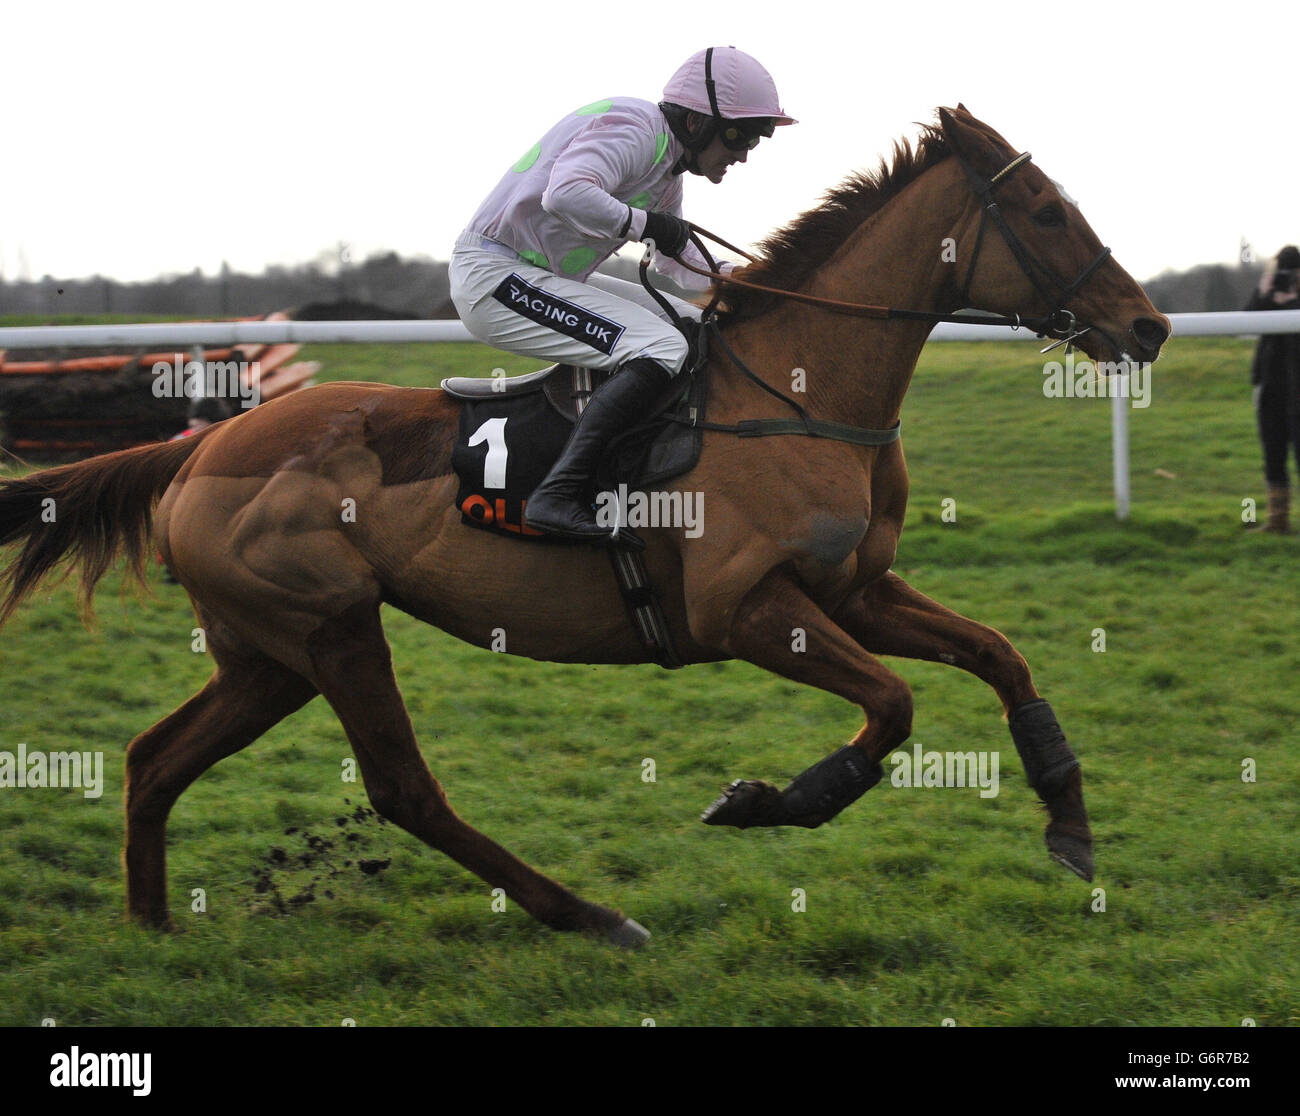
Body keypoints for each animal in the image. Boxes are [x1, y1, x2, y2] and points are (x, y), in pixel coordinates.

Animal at [0, 107, 1169, 947]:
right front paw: (763, 801)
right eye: (1049, 213)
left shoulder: (853, 591)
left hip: (267, 655)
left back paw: (153, 930)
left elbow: (1001, 656)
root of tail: (199, 451)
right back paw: (590, 914)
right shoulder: (747, 609)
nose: (1148, 326)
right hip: (330, 627)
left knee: (154, 760)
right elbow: (890, 707)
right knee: (402, 789)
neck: (795, 393)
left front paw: (1070, 827)